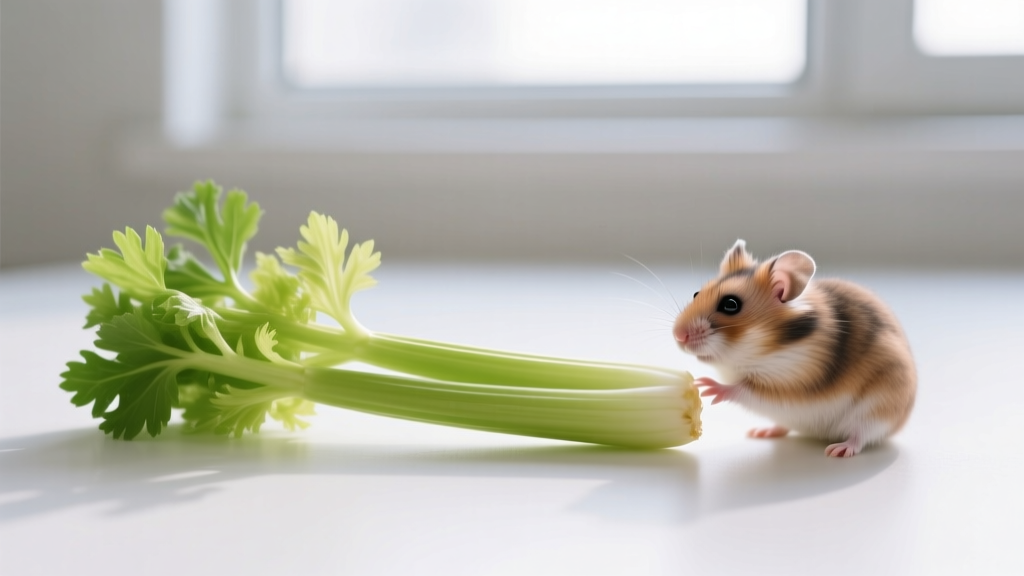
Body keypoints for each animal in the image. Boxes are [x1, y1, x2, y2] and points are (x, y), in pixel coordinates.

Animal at [673, 240, 916, 457]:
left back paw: (838, 450)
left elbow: (744, 389)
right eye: (696, 294)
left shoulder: (792, 383)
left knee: (862, 434)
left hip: (879, 408)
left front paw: (706, 386)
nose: (678, 335)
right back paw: (761, 432)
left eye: (730, 304)